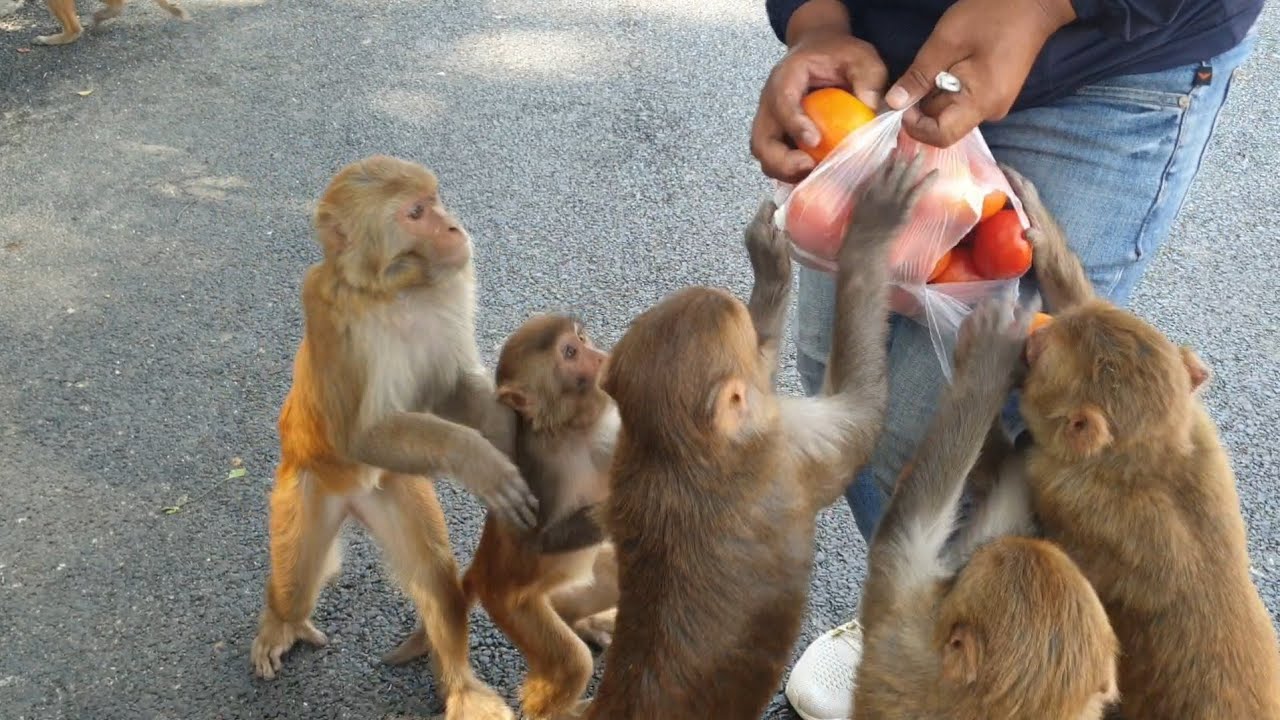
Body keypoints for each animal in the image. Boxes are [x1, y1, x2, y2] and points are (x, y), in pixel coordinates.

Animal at [250, 155, 539, 720]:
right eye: (416, 213)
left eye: (435, 200)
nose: (453, 228)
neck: (396, 288)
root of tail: (349, 501)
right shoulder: (332, 317)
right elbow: (358, 436)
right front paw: (479, 461)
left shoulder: (450, 291)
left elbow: (453, 389)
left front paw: (507, 435)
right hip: (305, 487)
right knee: (294, 581)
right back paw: (280, 619)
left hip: (396, 487)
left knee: (436, 578)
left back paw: (462, 687)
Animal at [447, 312, 621, 720]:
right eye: (570, 353)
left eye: (581, 338)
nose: (600, 356)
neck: (572, 431)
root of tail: (481, 569)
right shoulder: (542, 472)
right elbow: (538, 539)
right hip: (511, 605)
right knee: (572, 663)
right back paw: (559, 710)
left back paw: (583, 624)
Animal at [580, 154, 933, 720]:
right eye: (723, 313)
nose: (723, 294)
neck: (676, 454)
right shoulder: (788, 452)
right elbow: (862, 407)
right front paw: (871, 228)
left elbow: (762, 359)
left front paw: (767, 258)